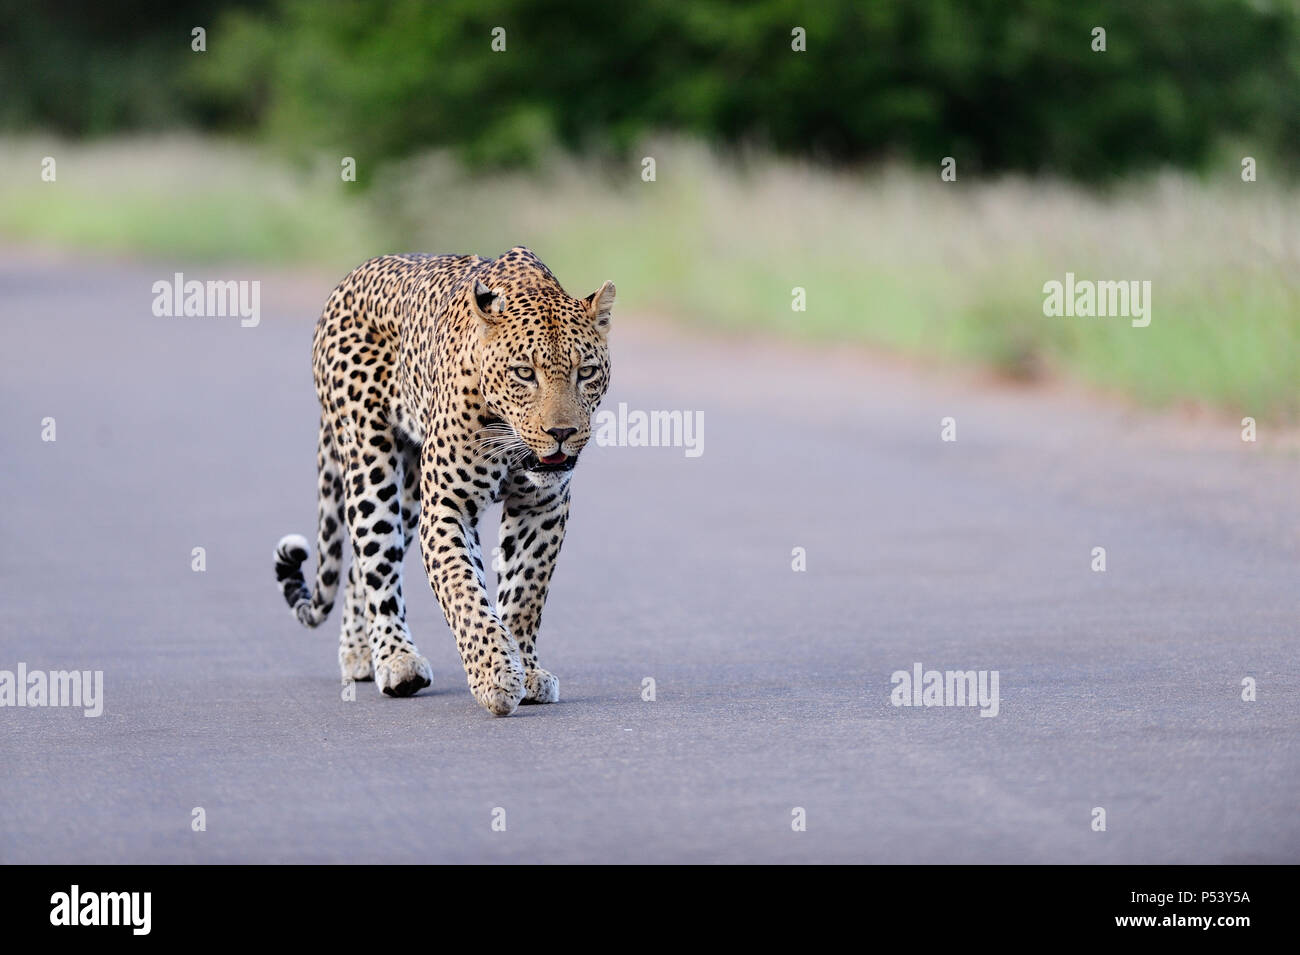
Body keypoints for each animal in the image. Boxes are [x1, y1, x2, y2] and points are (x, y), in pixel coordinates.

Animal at [273, 246, 614, 716]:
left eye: (587, 372)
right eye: (524, 373)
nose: (562, 432)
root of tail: (349, 280)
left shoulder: (541, 507)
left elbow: (526, 590)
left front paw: (525, 671)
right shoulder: (447, 510)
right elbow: (464, 593)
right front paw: (495, 675)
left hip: (409, 489)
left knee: (360, 563)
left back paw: (360, 653)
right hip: (370, 461)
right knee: (375, 557)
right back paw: (396, 660)